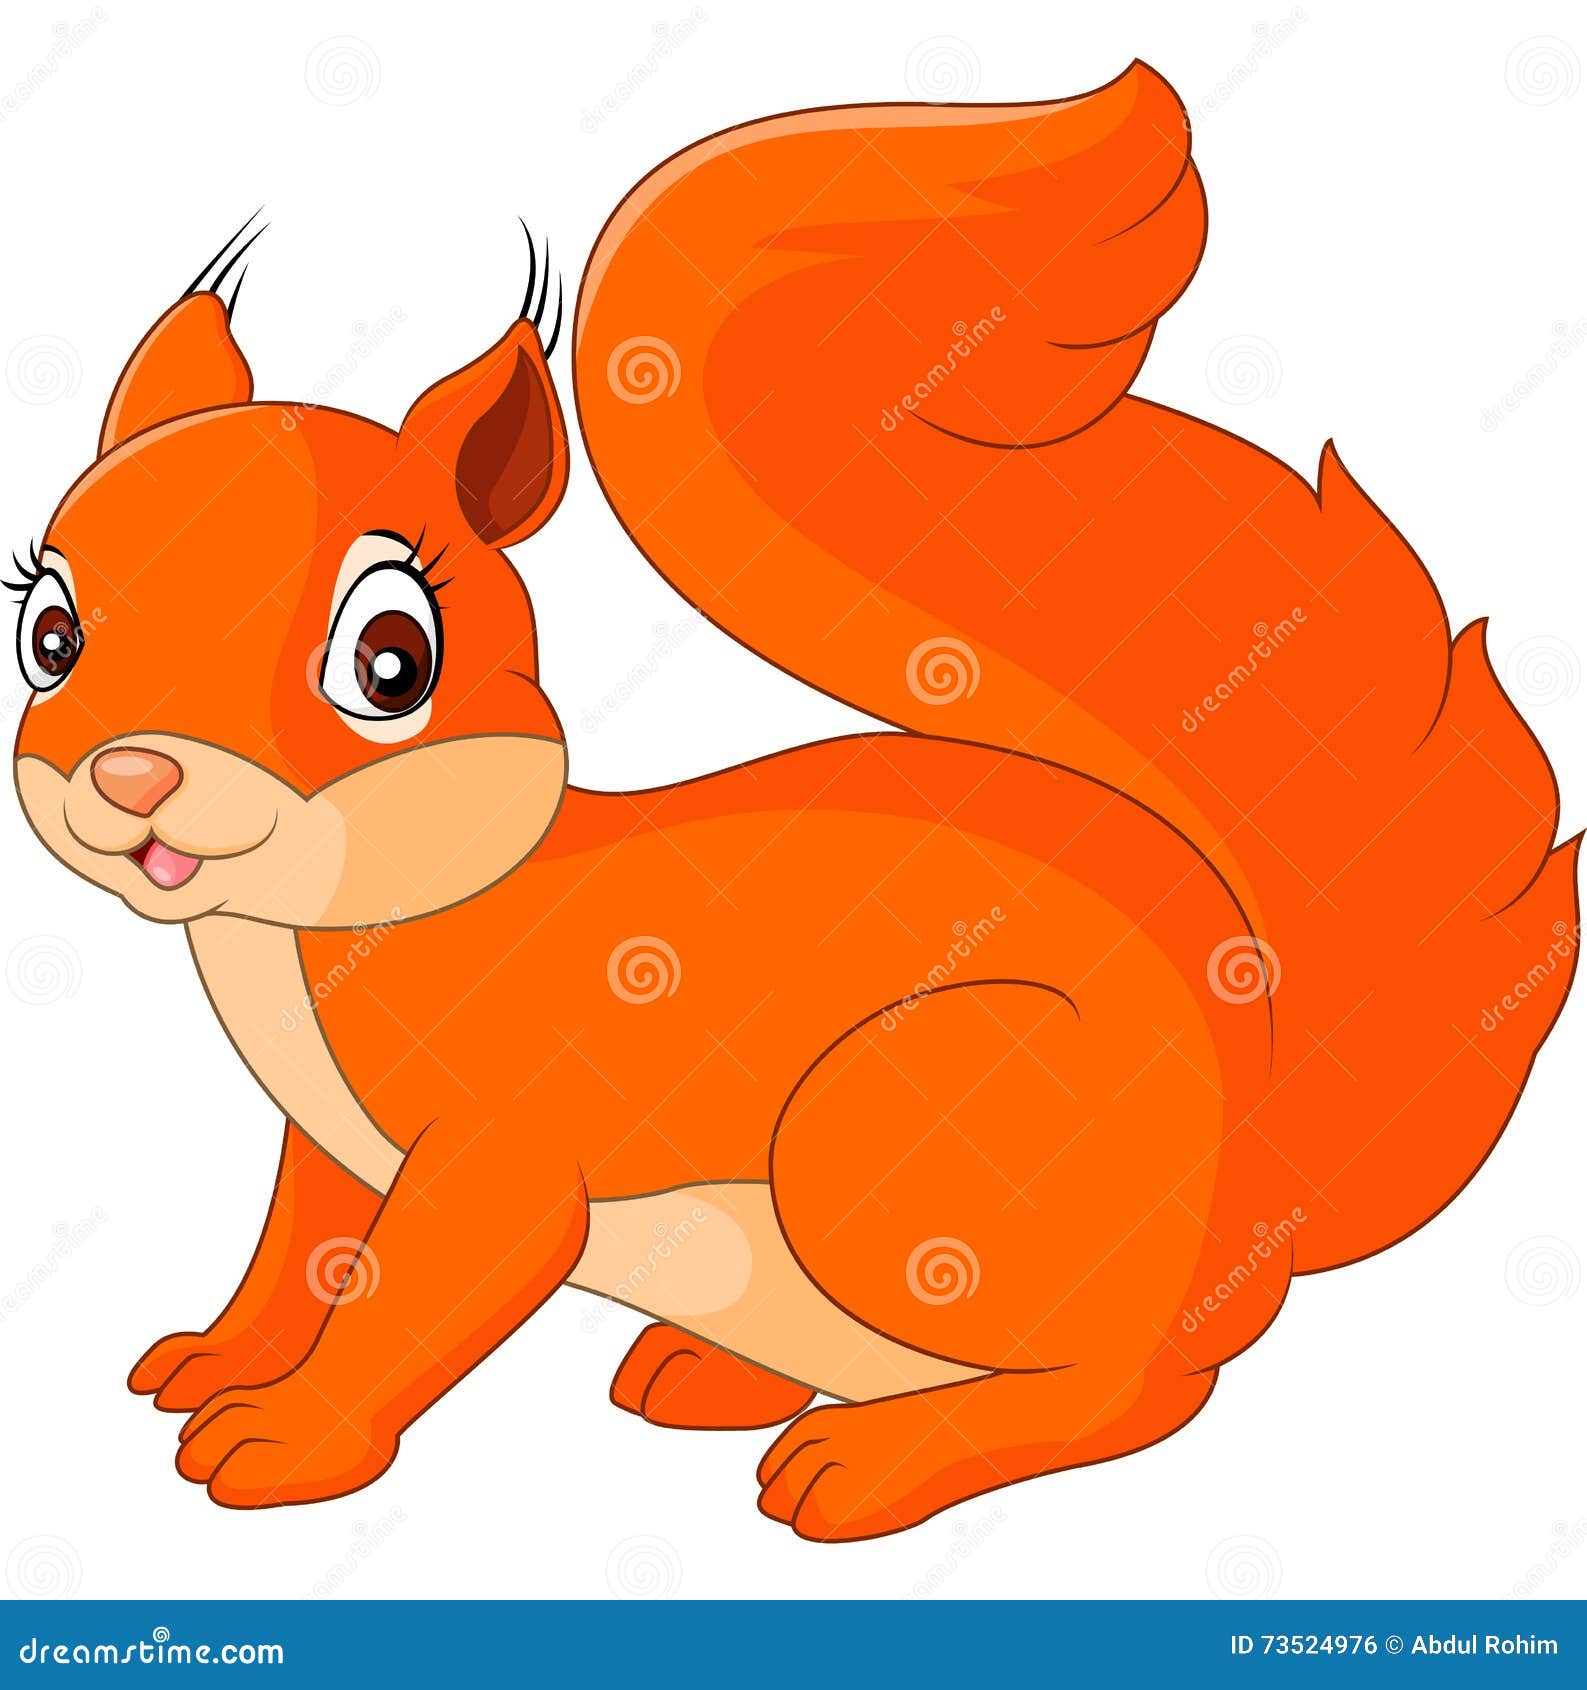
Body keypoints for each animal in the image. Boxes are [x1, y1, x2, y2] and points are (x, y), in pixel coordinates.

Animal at [10, 63, 1578, 1539]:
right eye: (51, 633)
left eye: (391, 662)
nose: (135, 774)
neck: (307, 938)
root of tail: (1249, 1194)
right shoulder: (330, 1150)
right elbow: (302, 1254)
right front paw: (220, 1355)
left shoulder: (503, 1153)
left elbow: (417, 1292)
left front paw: (290, 1438)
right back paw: (712, 1376)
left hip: (897, 1137)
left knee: (1139, 1384)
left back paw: (875, 1457)